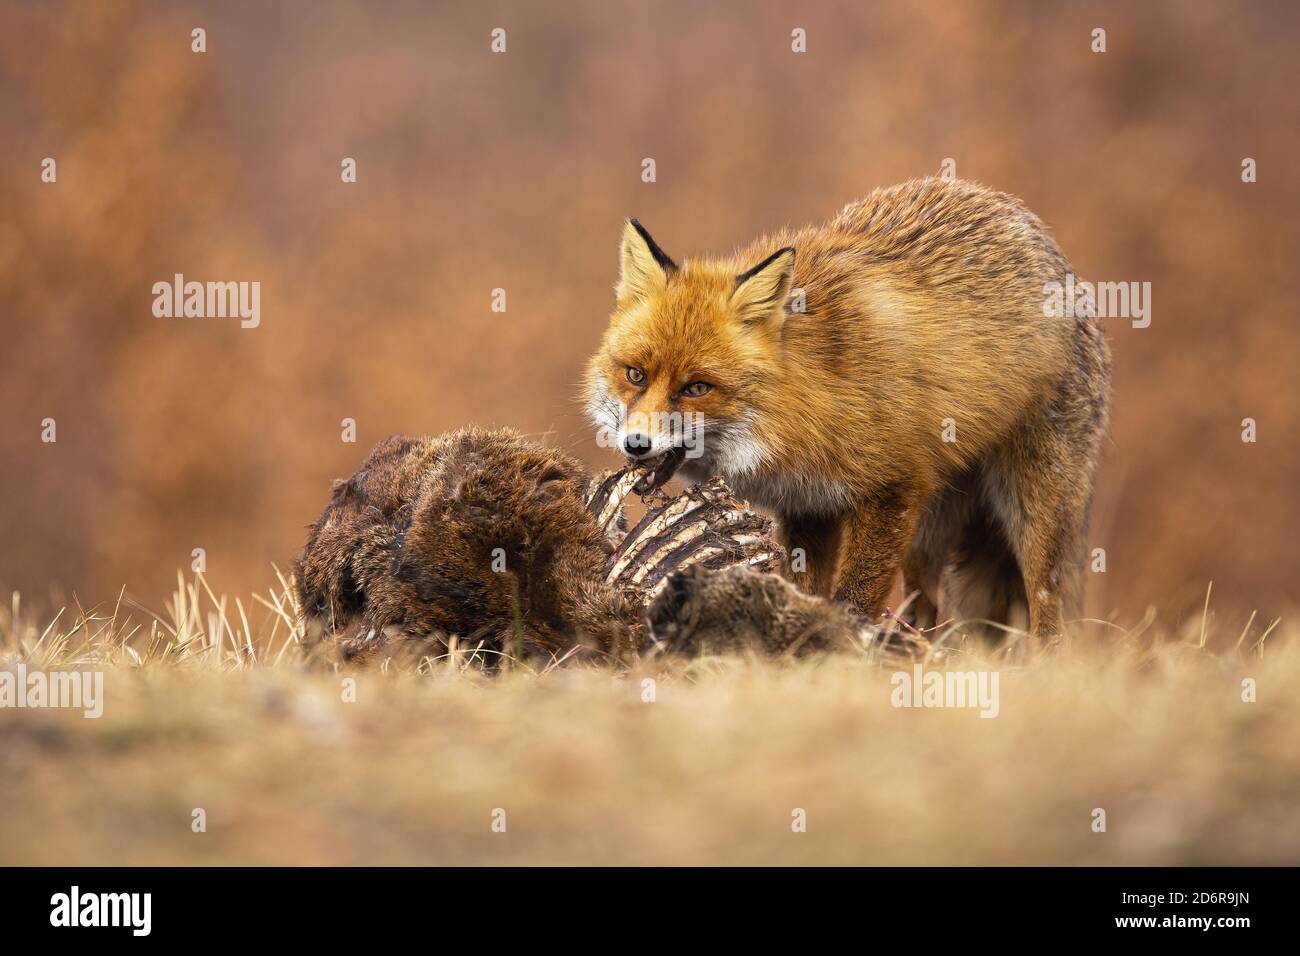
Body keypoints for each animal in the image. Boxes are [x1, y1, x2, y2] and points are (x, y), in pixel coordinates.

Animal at [585, 177, 1111, 639]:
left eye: (696, 387)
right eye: (636, 375)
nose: (635, 444)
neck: (810, 396)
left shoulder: (894, 489)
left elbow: (853, 601)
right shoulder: (809, 507)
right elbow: (807, 590)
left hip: (1033, 514)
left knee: (1048, 612)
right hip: (930, 532)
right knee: (927, 606)